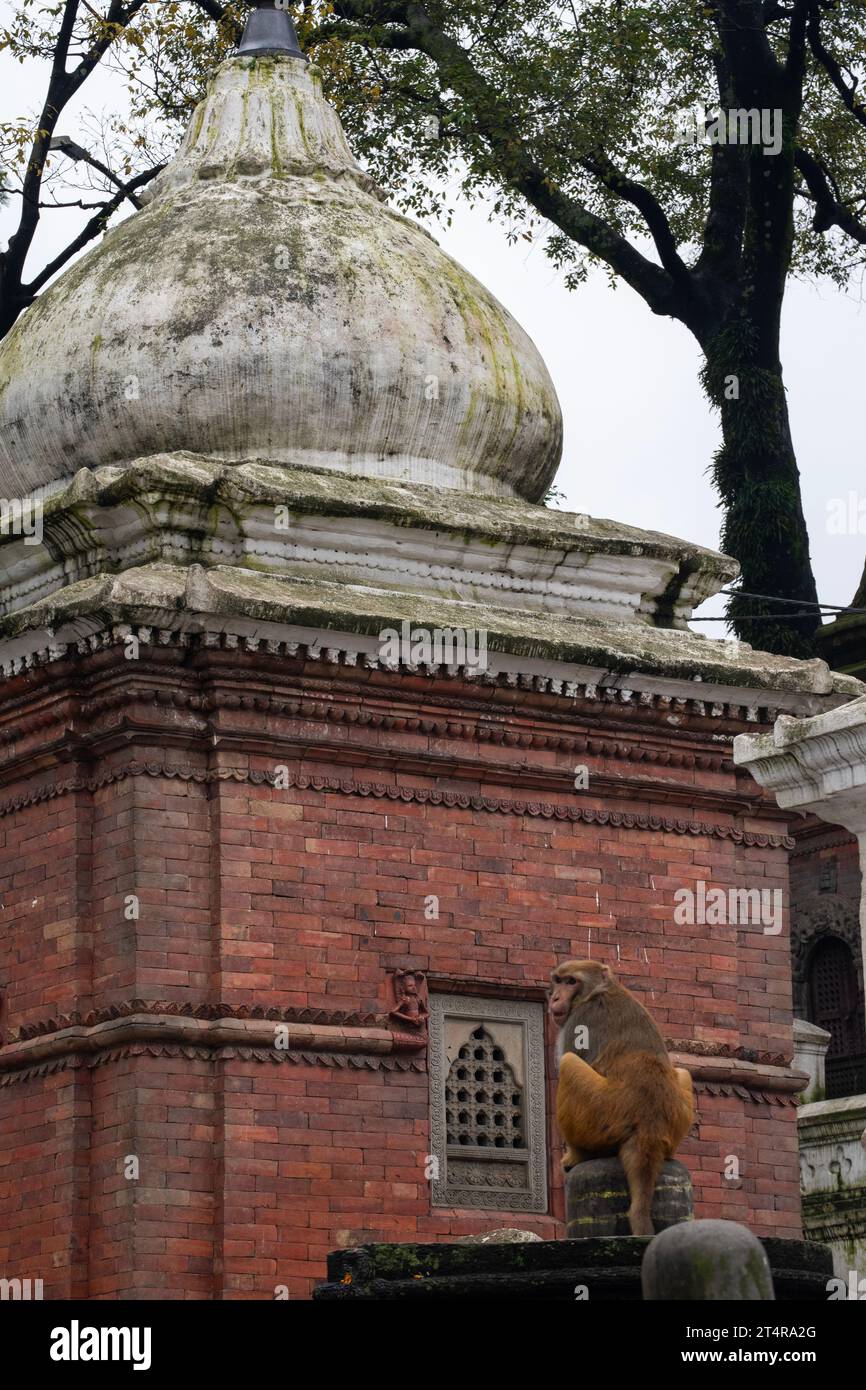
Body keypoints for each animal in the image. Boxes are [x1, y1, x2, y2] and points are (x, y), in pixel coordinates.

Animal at [548, 959, 694, 1237]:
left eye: (571, 982)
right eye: (558, 980)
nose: (555, 998)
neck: (600, 991)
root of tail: (650, 1126)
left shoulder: (579, 1020)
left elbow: (572, 1055)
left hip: (599, 1115)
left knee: (570, 1063)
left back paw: (578, 1155)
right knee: (684, 1073)